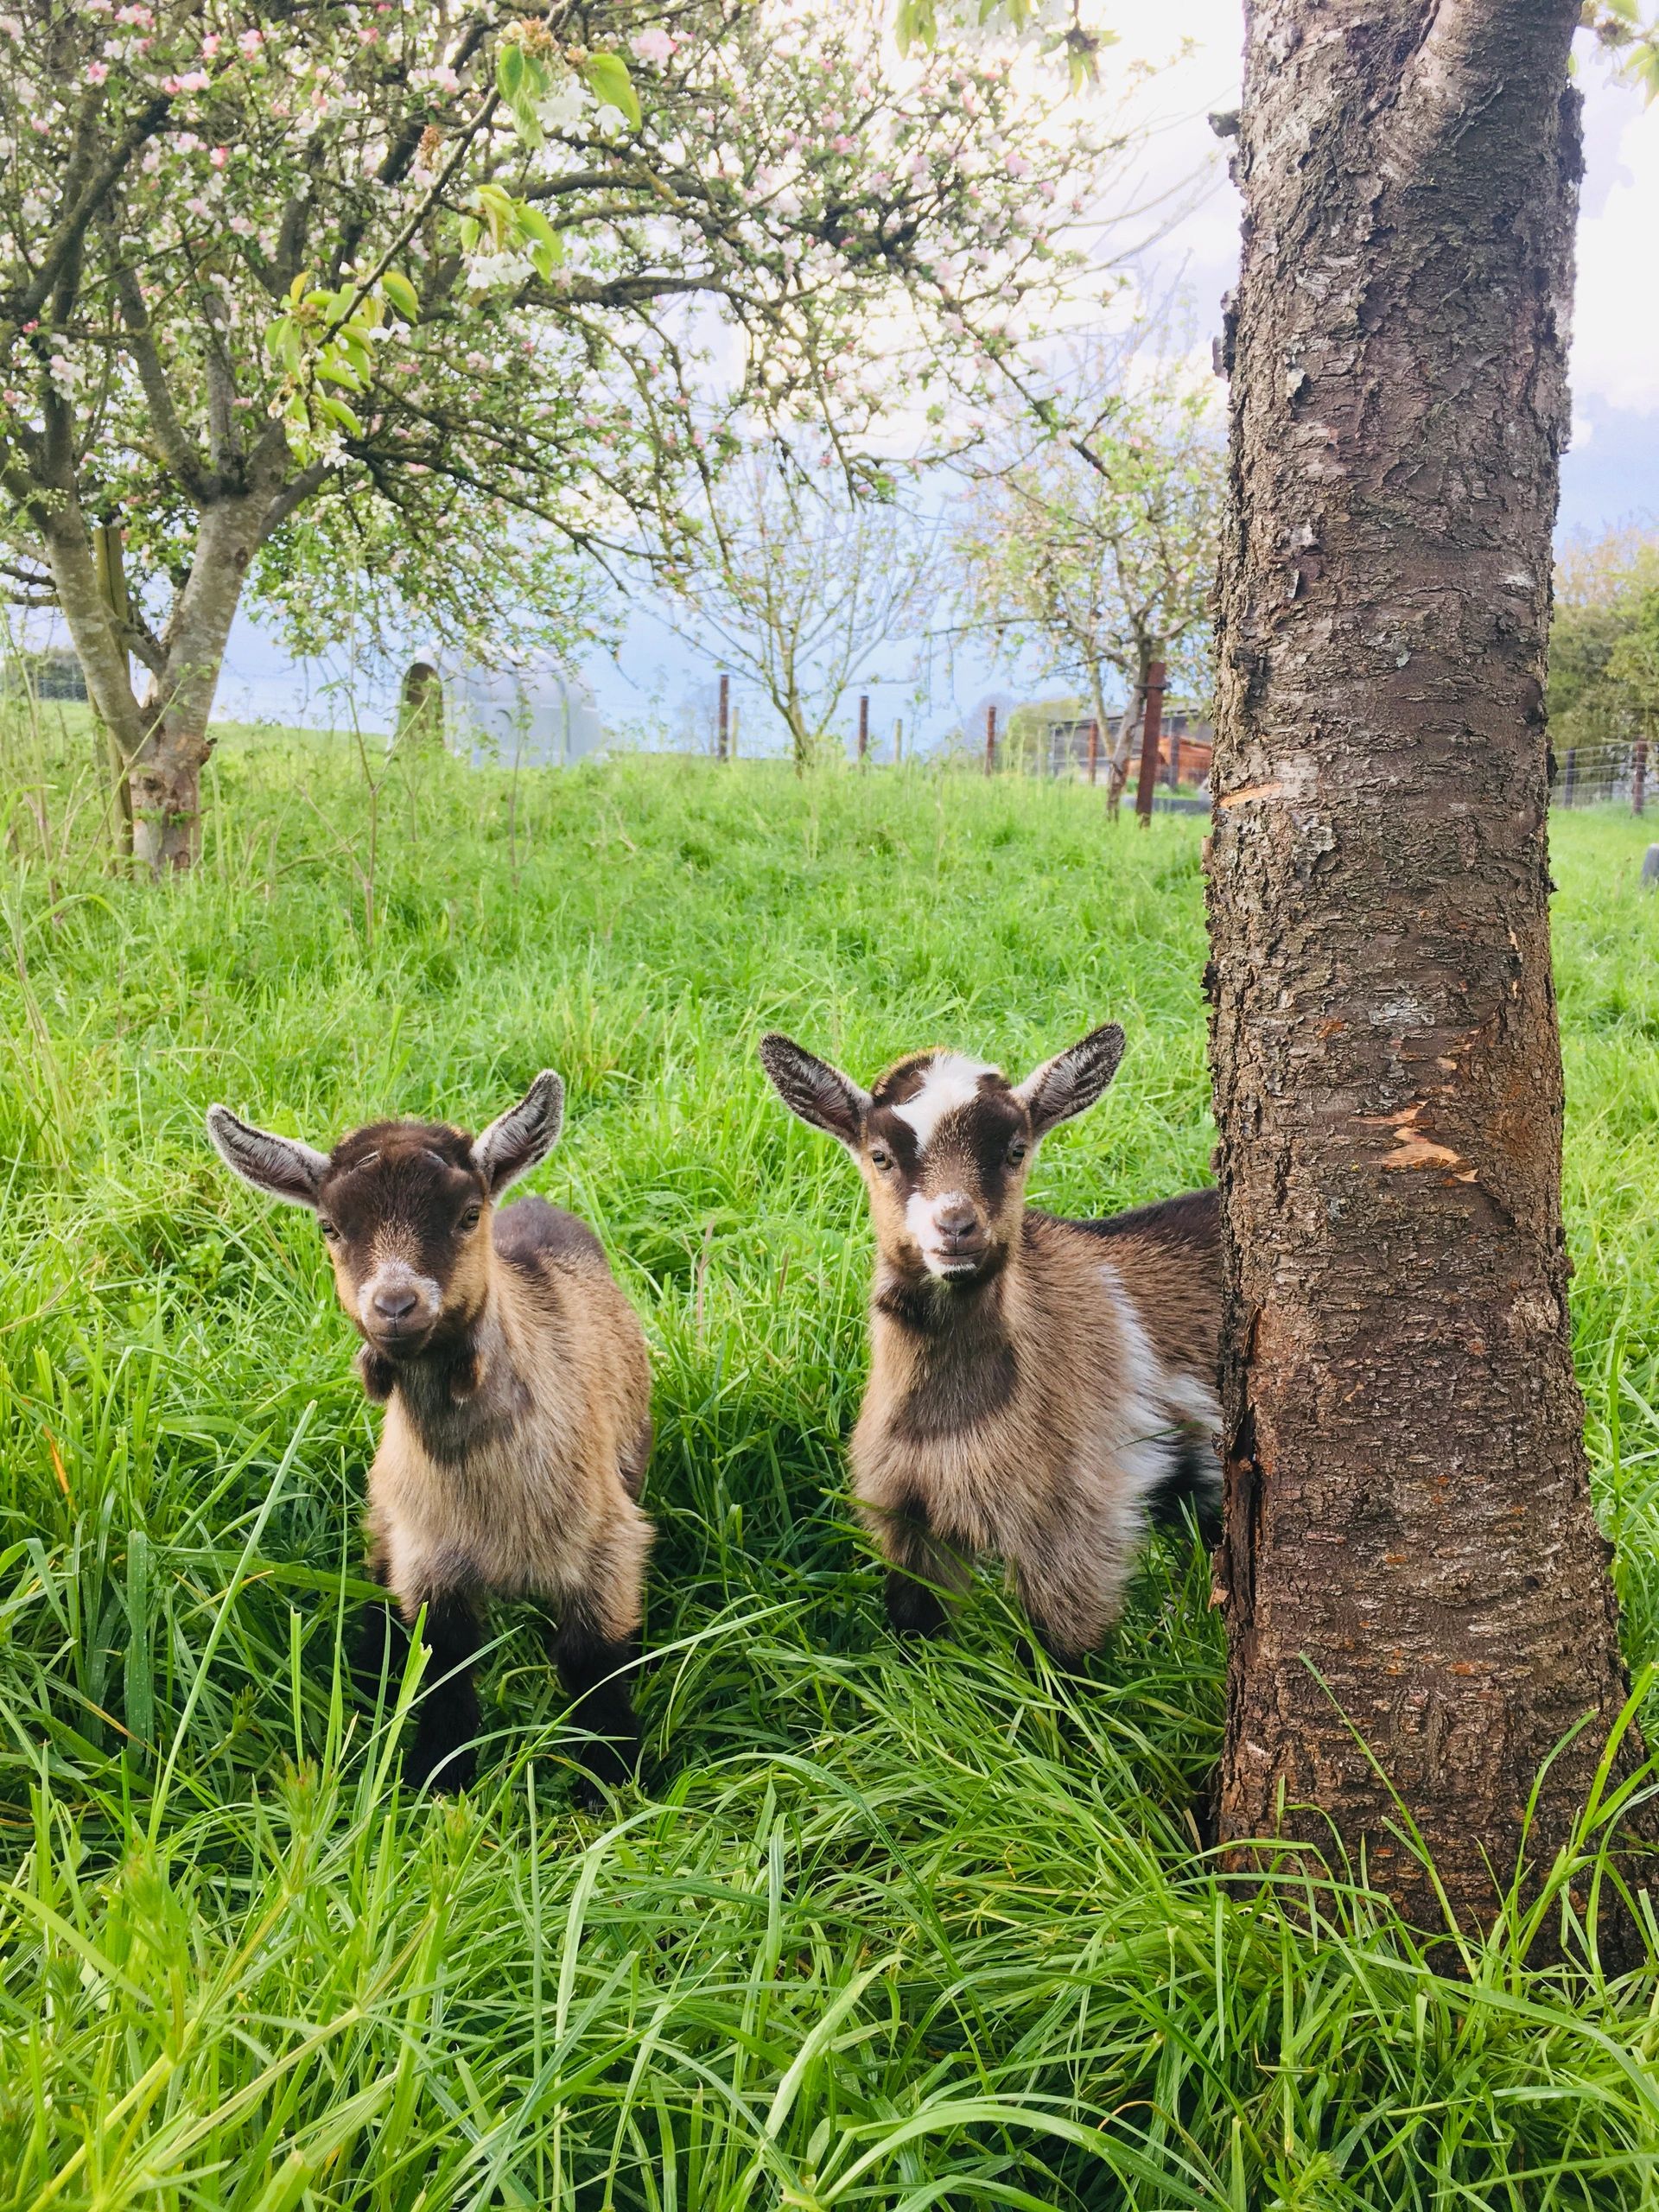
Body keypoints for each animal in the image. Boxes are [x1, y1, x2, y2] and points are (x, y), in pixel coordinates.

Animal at [207, 1073, 653, 1797]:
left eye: (468, 1214)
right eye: (330, 1227)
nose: (394, 1307)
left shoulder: (607, 1547)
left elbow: (592, 1664)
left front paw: (610, 1781)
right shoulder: (427, 1560)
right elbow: (442, 1664)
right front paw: (436, 1775)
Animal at [758, 1025, 1221, 1662]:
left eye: (1015, 1150)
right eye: (880, 1155)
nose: (956, 1227)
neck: (947, 1423)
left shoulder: (1077, 1527)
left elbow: (1062, 1663)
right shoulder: (908, 1513)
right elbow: (915, 1630)